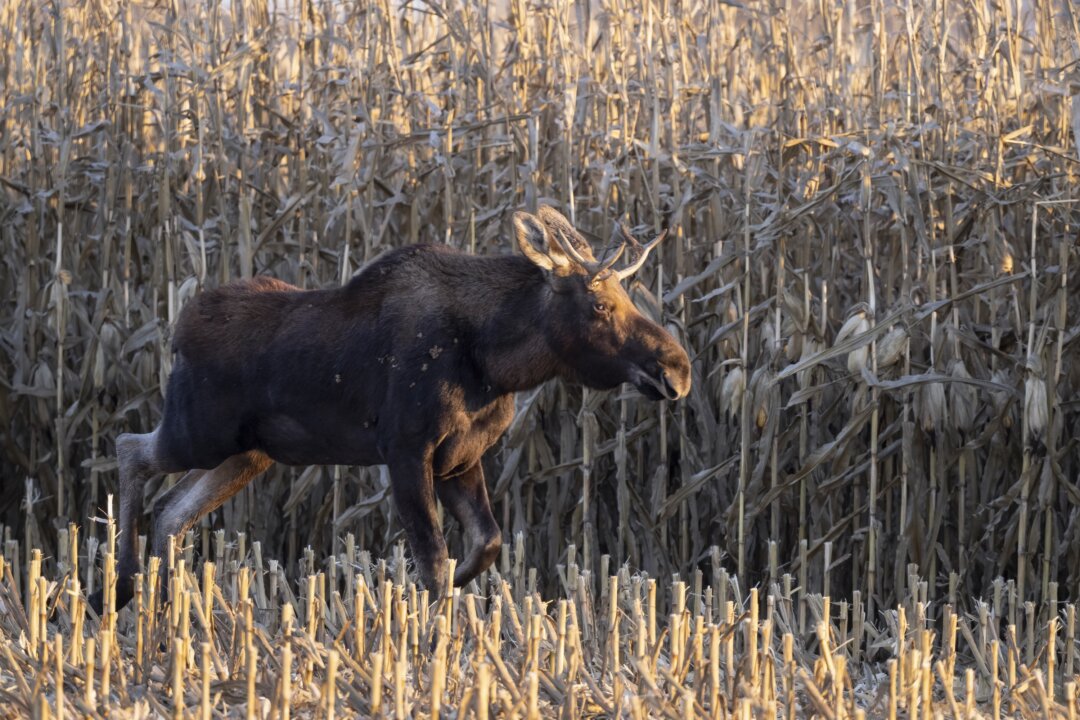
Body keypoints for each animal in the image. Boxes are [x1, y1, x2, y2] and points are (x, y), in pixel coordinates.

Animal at [87, 205, 692, 614]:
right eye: (599, 304)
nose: (678, 369)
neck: (495, 361)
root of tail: (177, 330)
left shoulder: (460, 459)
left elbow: (486, 544)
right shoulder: (405, 449)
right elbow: (433, 559)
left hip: (249, 454)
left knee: (172, 511)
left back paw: (164, 607)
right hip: (198, 431)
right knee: (130, 449)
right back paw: (118, 589)